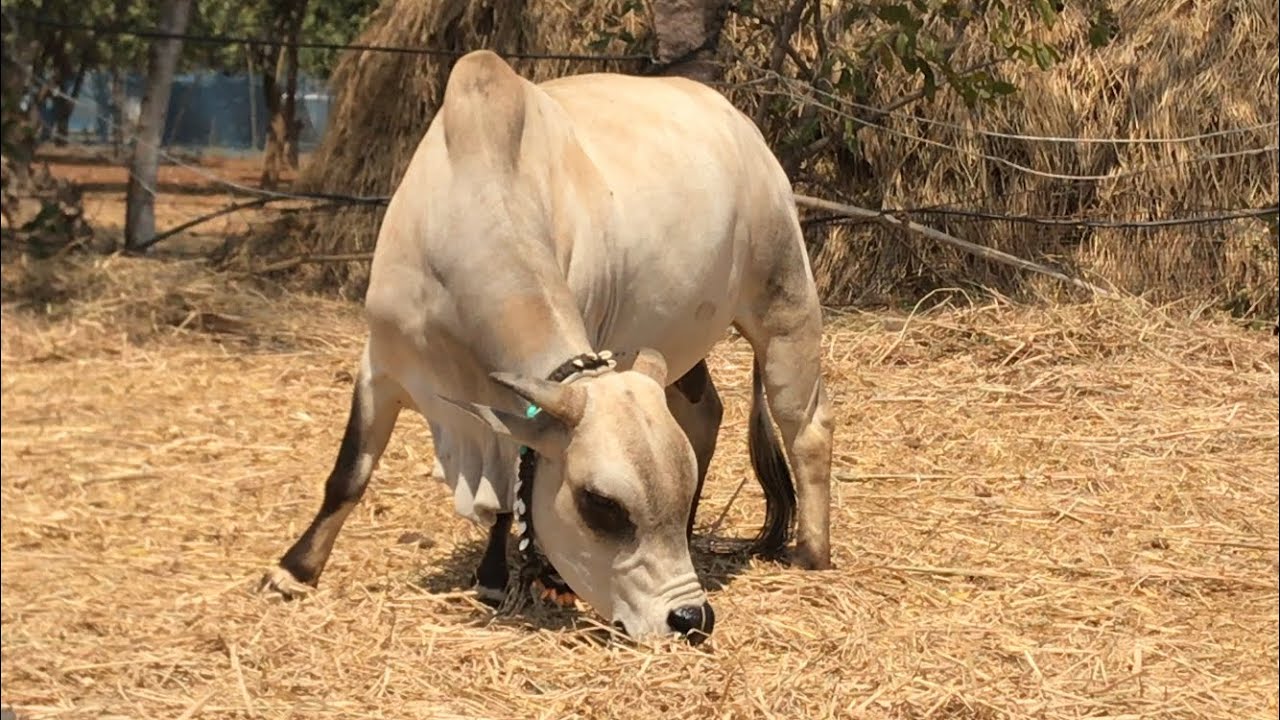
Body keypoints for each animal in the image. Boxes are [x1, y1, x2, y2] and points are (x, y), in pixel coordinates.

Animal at [260, 50, 834, 644]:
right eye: (600, 504)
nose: (691, 619)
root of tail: (737, 120)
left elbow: (502, 501)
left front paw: (506, 578)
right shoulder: (380, 365)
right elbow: (349, 474)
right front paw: (293, 571)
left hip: (785, 301)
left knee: (807, 427)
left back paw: (811, 552)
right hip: (680, 348)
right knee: (706, 415)